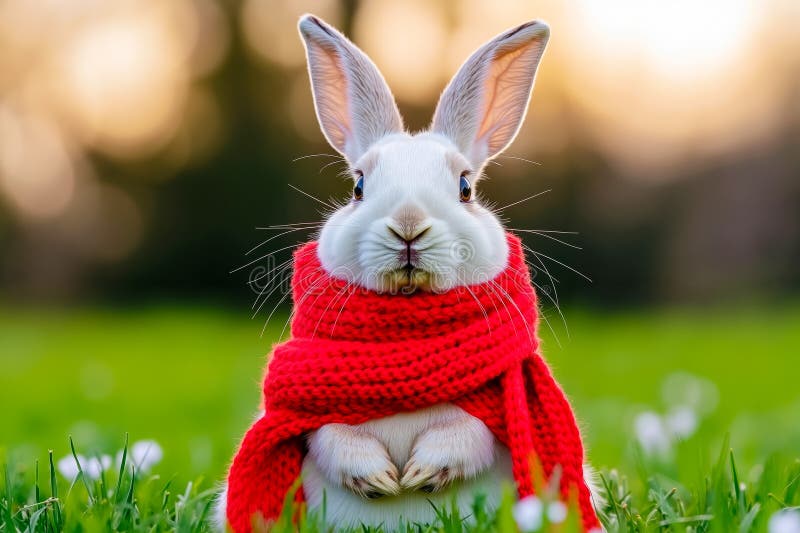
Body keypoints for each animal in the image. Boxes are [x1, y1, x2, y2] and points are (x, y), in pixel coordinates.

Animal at [215, 13, 602, 531]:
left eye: (465, 188)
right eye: (358, 187)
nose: (408, 225)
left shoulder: (487, 410)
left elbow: (469, 432)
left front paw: (421, 474)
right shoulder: (314, 420)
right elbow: (332, 435)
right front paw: (379, 480)